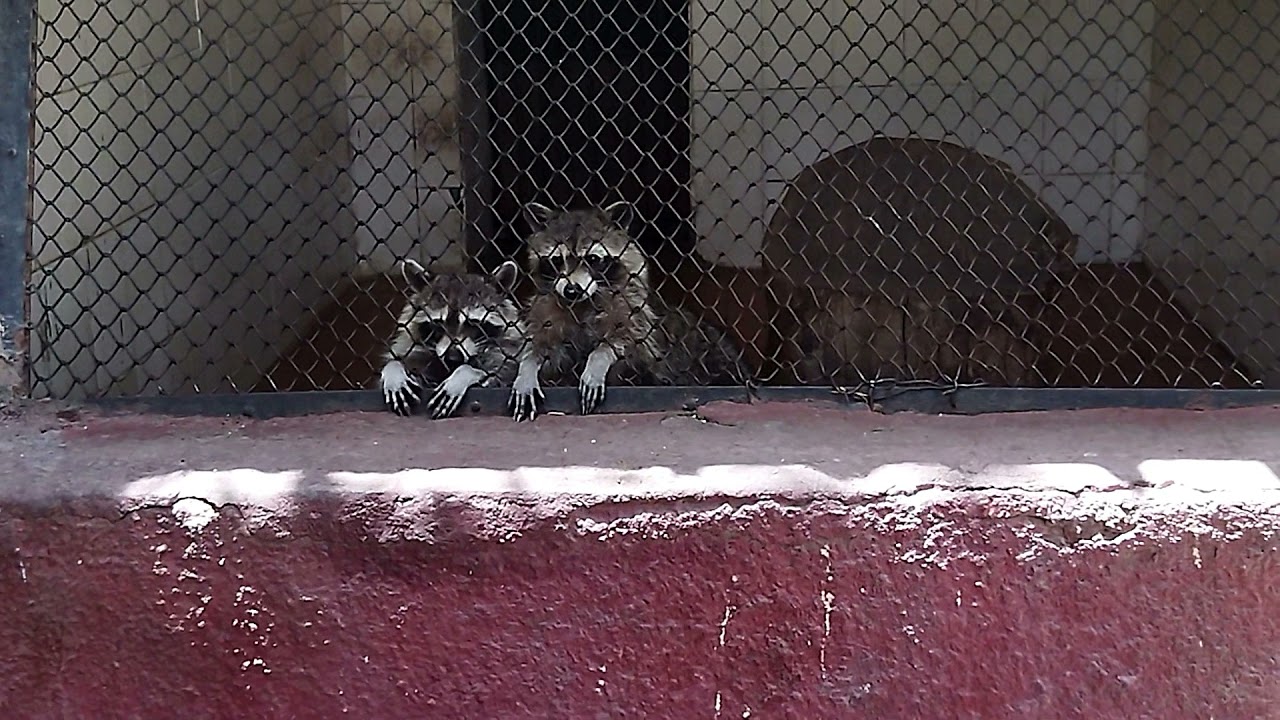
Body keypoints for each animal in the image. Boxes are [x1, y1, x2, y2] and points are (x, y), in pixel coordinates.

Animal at [379, 259, 526, 418]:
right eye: (438, 323)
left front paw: (465, 372)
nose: (453, 357)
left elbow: (499, 376)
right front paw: (394, 369)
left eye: (472, 323)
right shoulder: (416, 349)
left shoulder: (506, 352)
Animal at [509, 201, 749, 421]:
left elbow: (630, 343)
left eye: (593, 259)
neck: (582, 303)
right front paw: (527, 367)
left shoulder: (632, 309)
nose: (571, 290)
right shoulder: (547, 308)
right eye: (557, 260)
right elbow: (543, 347)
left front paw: (600, 356)